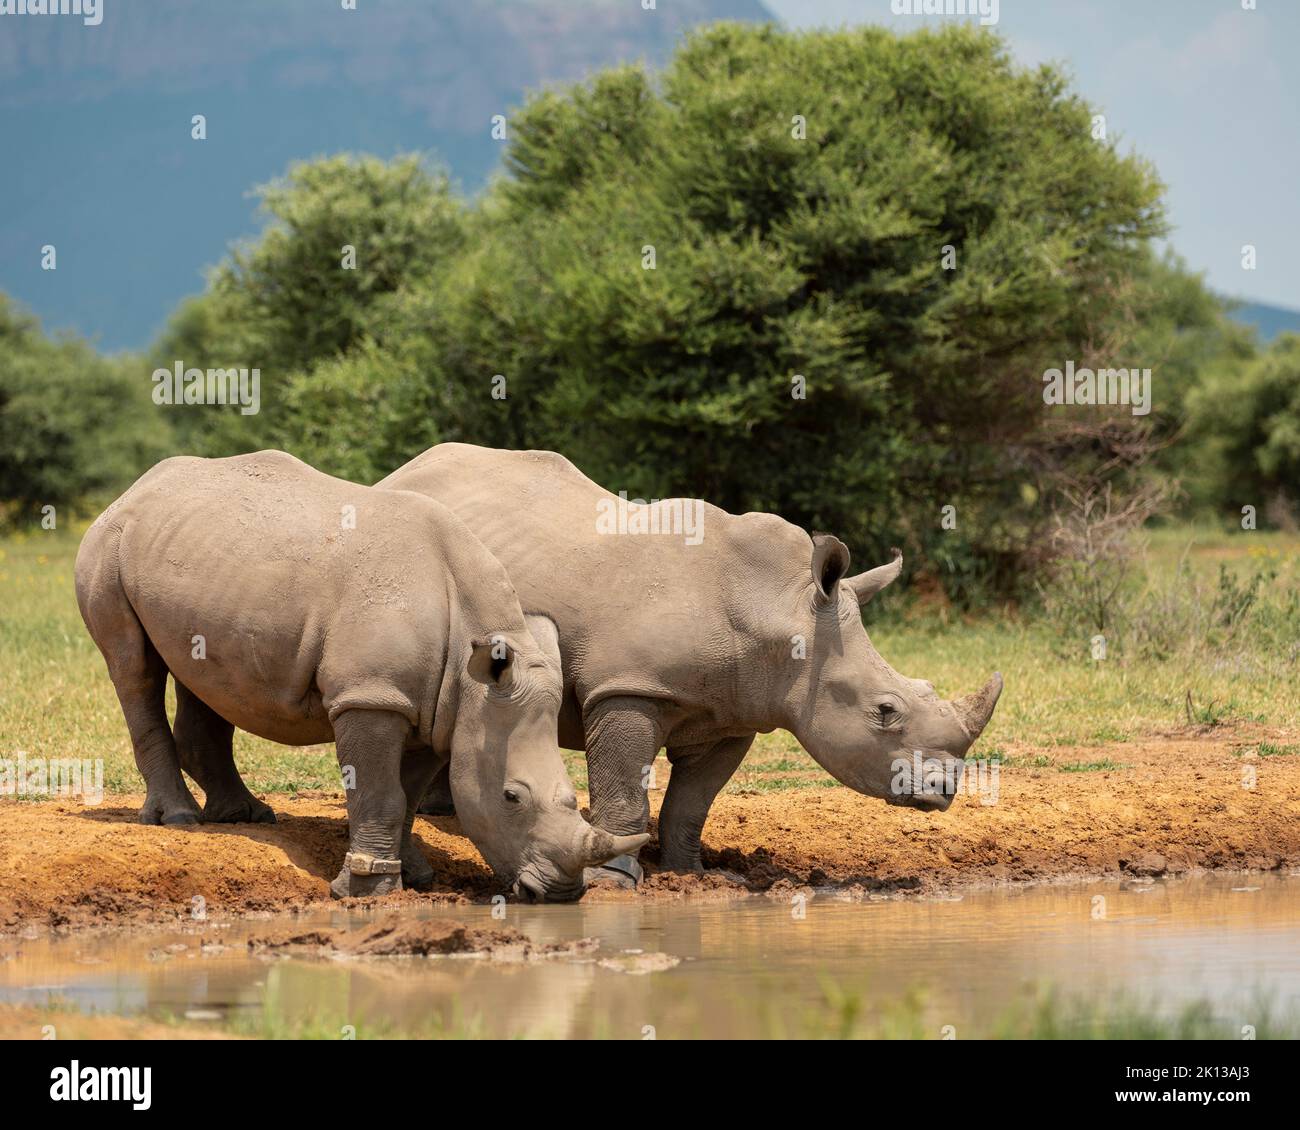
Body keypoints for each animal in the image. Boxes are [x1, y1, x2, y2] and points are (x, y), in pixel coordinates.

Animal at [75, 451, 645, 901]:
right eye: (512, 797)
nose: (562, 894)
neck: (473, 666)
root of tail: (135, 488)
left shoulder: (438, 709)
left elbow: (406, 796)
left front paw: (416, 873)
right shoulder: (371, 696)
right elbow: (379, 791)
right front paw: (368, 889)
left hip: (201, 562)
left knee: (203, 672)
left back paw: (245, 817)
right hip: (107, 545)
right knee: (134, 668)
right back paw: (179, 819)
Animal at [378, 444, 1003, 885]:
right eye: (885, 710)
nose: (943, 790)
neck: (780, 609)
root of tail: (398, 475)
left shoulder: (737, 711)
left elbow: (692, 801)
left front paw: (694, 874)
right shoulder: (629, 687)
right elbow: (625, 786)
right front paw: (617, 878)